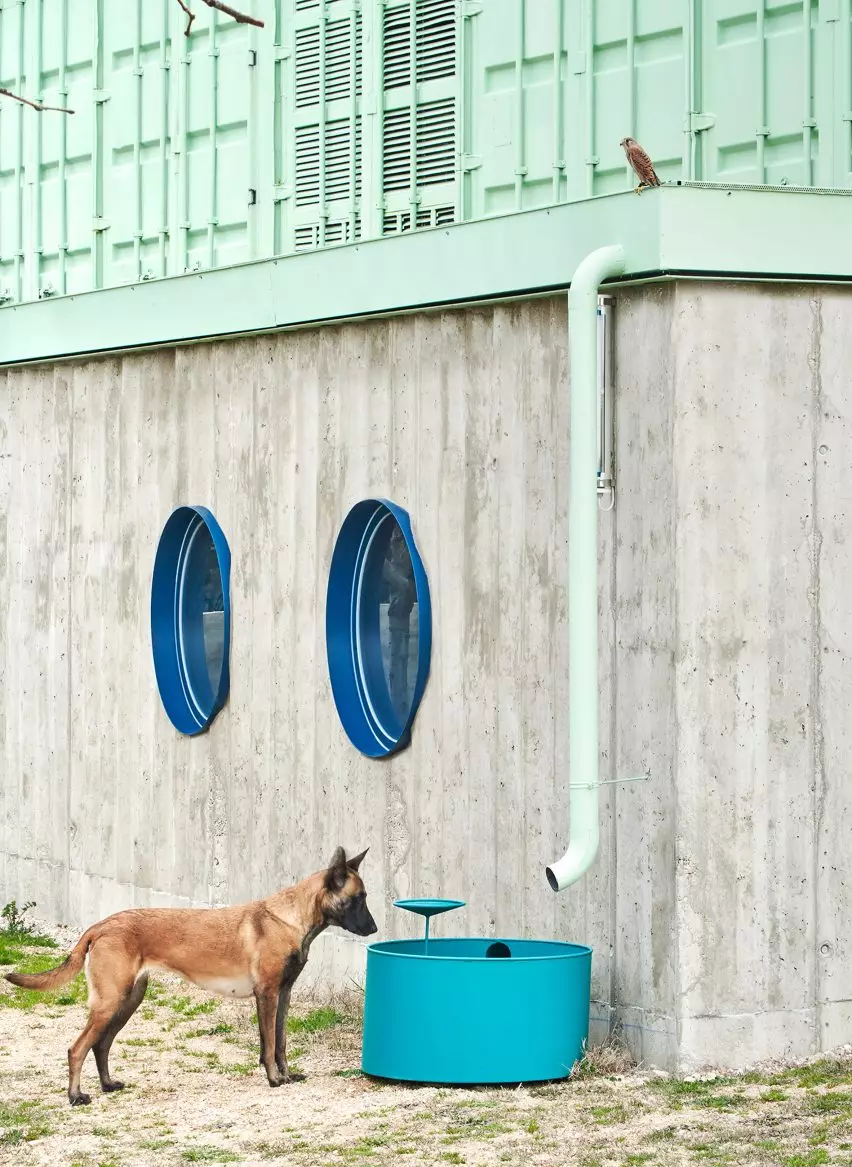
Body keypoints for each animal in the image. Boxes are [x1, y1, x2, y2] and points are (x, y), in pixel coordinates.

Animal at [4, 849, 375, 1101]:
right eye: (358, 898)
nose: (374, 929)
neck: (290, 918)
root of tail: (101, 925)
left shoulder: (283, 995)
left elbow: (280, 1042)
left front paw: (286, 1074)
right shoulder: (267, 994)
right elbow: (268, 1043)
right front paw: (274, 1079)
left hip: (127, 1000)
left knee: (101, 1045)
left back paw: (108, 1084)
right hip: (110, 1001)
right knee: (78, 1047)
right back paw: (76, 1096)